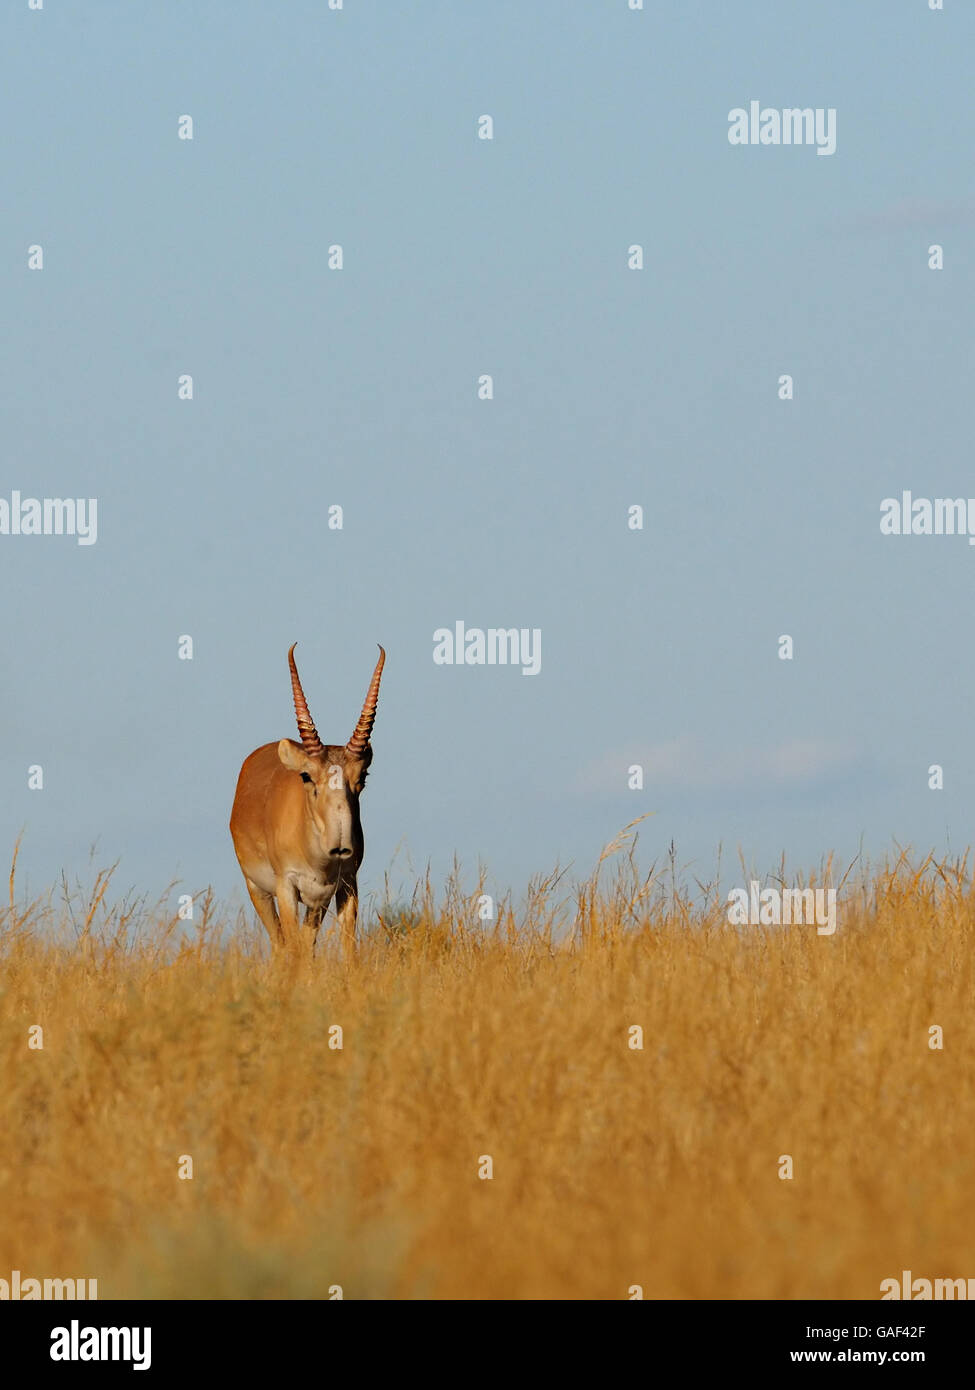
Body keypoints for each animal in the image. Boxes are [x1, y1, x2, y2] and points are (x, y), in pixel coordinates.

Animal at [230, 643, 385, 954]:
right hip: (258, 890)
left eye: (362, 777)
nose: (340, 843)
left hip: (316, 904)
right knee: (280, 945)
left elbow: (346, 949)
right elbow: (292, 949)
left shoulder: (344, 885)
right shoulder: (287, 888)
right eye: (306, 776)